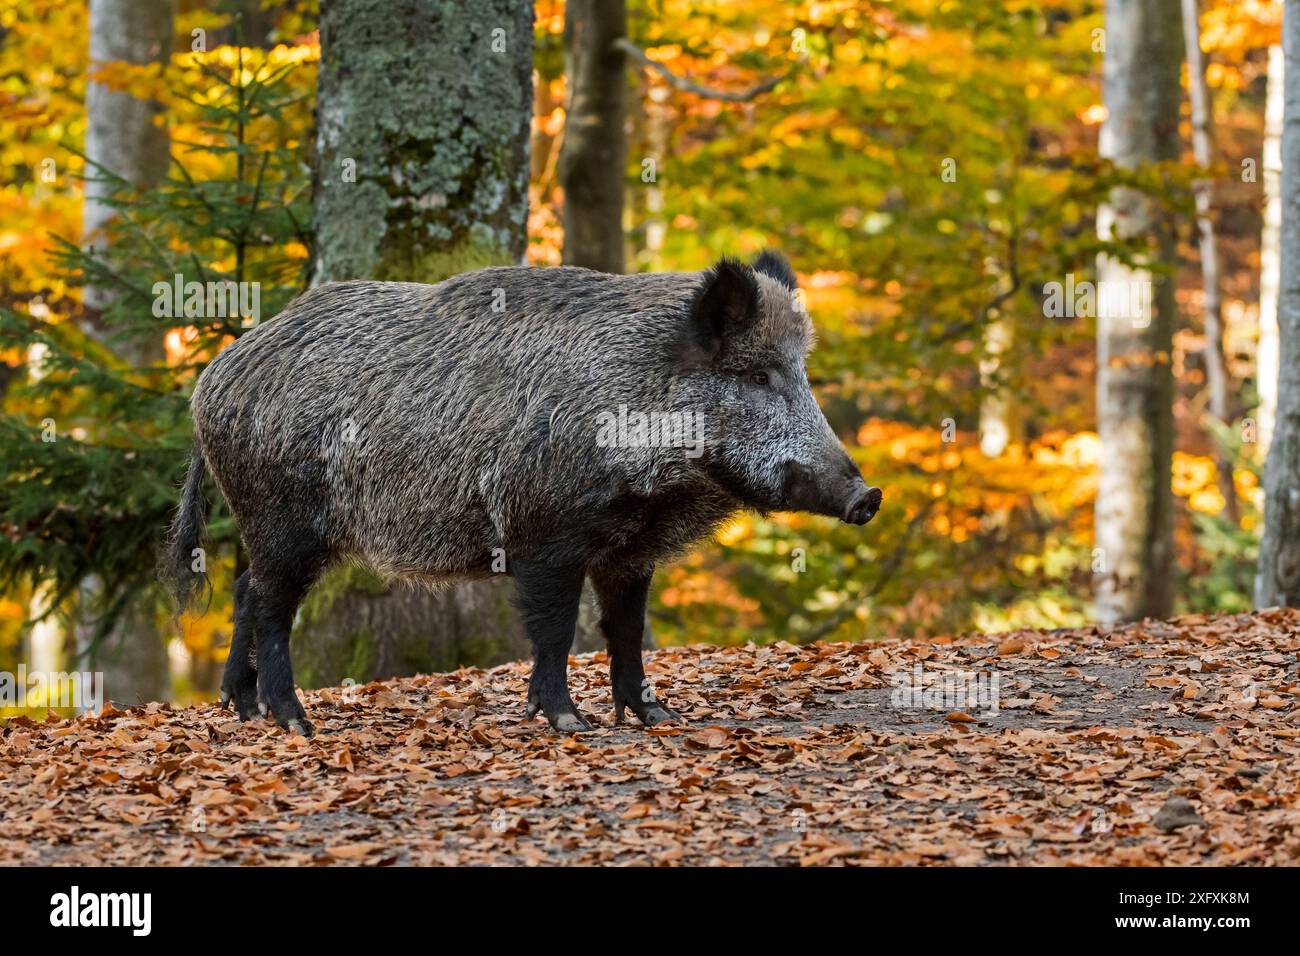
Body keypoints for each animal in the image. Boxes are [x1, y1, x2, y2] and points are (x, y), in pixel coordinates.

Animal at [162, 251, 883, 736]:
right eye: (757, 376)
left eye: (801, 372)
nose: (867, 496)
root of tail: (209, 383)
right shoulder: (543, 531)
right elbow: (556, 629)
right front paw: (567, 722)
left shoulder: (630, 549)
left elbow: (626, 628)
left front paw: (654, 715)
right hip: (283, 516)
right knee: (269, 606)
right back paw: (294, 722)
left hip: (268, 525)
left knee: (244, 590)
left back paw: (244, 709)